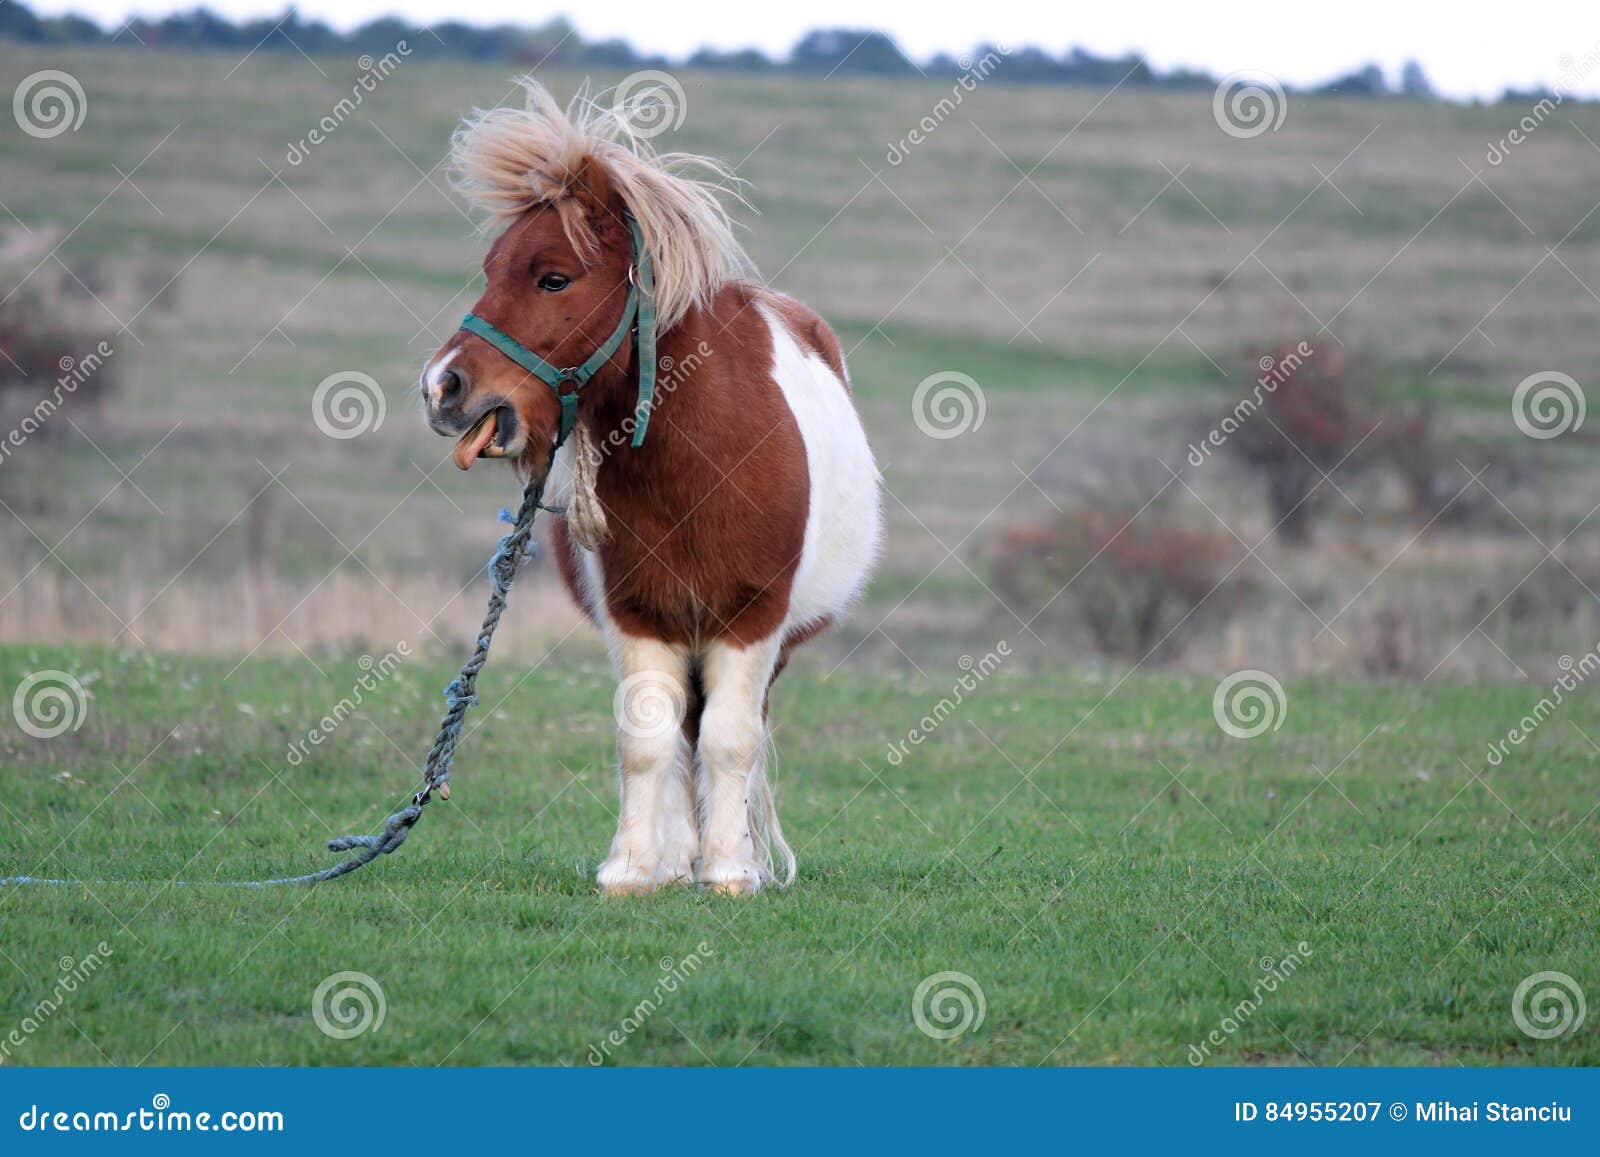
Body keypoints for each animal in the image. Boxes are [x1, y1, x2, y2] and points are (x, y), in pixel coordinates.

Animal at [419, 80, 883, 895]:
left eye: (553, 277)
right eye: (490, 268)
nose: (442, 387)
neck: (702, 464)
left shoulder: (753, 619)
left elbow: (732, 740)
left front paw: (730, 869)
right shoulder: (639, 615)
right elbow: (646, 739)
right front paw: (635, 868)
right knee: (678, 733)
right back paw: (675, 857)